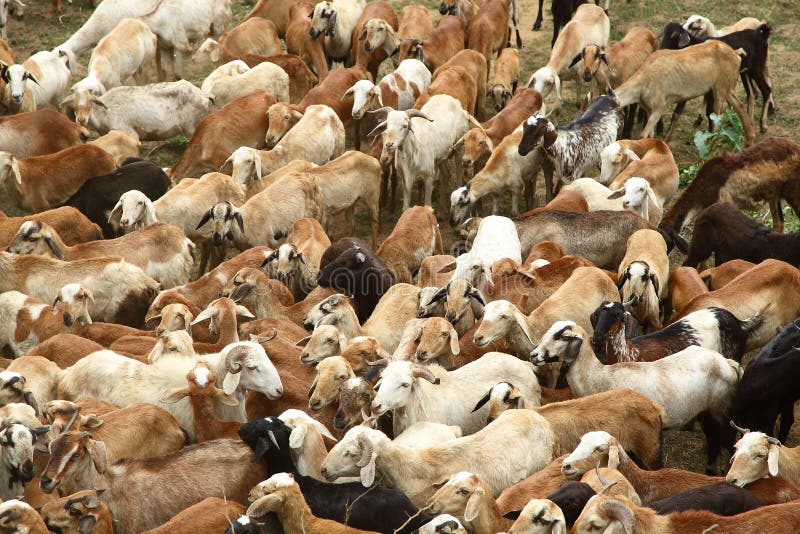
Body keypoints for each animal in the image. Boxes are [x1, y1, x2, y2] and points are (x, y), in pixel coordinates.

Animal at [532, 322, 742, 473]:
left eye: (562, 336)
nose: (533, 355)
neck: (598, 377)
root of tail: (727, 362)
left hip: (720, 410)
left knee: (727, 440)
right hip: (705, 412)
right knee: (713, 440)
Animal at [614, 40, 754, 144]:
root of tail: (736, 53)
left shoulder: (659, 107)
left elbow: (642, 135)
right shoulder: (649, 109)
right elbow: (650, 135)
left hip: (719, 90)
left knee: (717, 119)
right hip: (727, 88)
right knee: (740, 106)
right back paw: (749, 141)